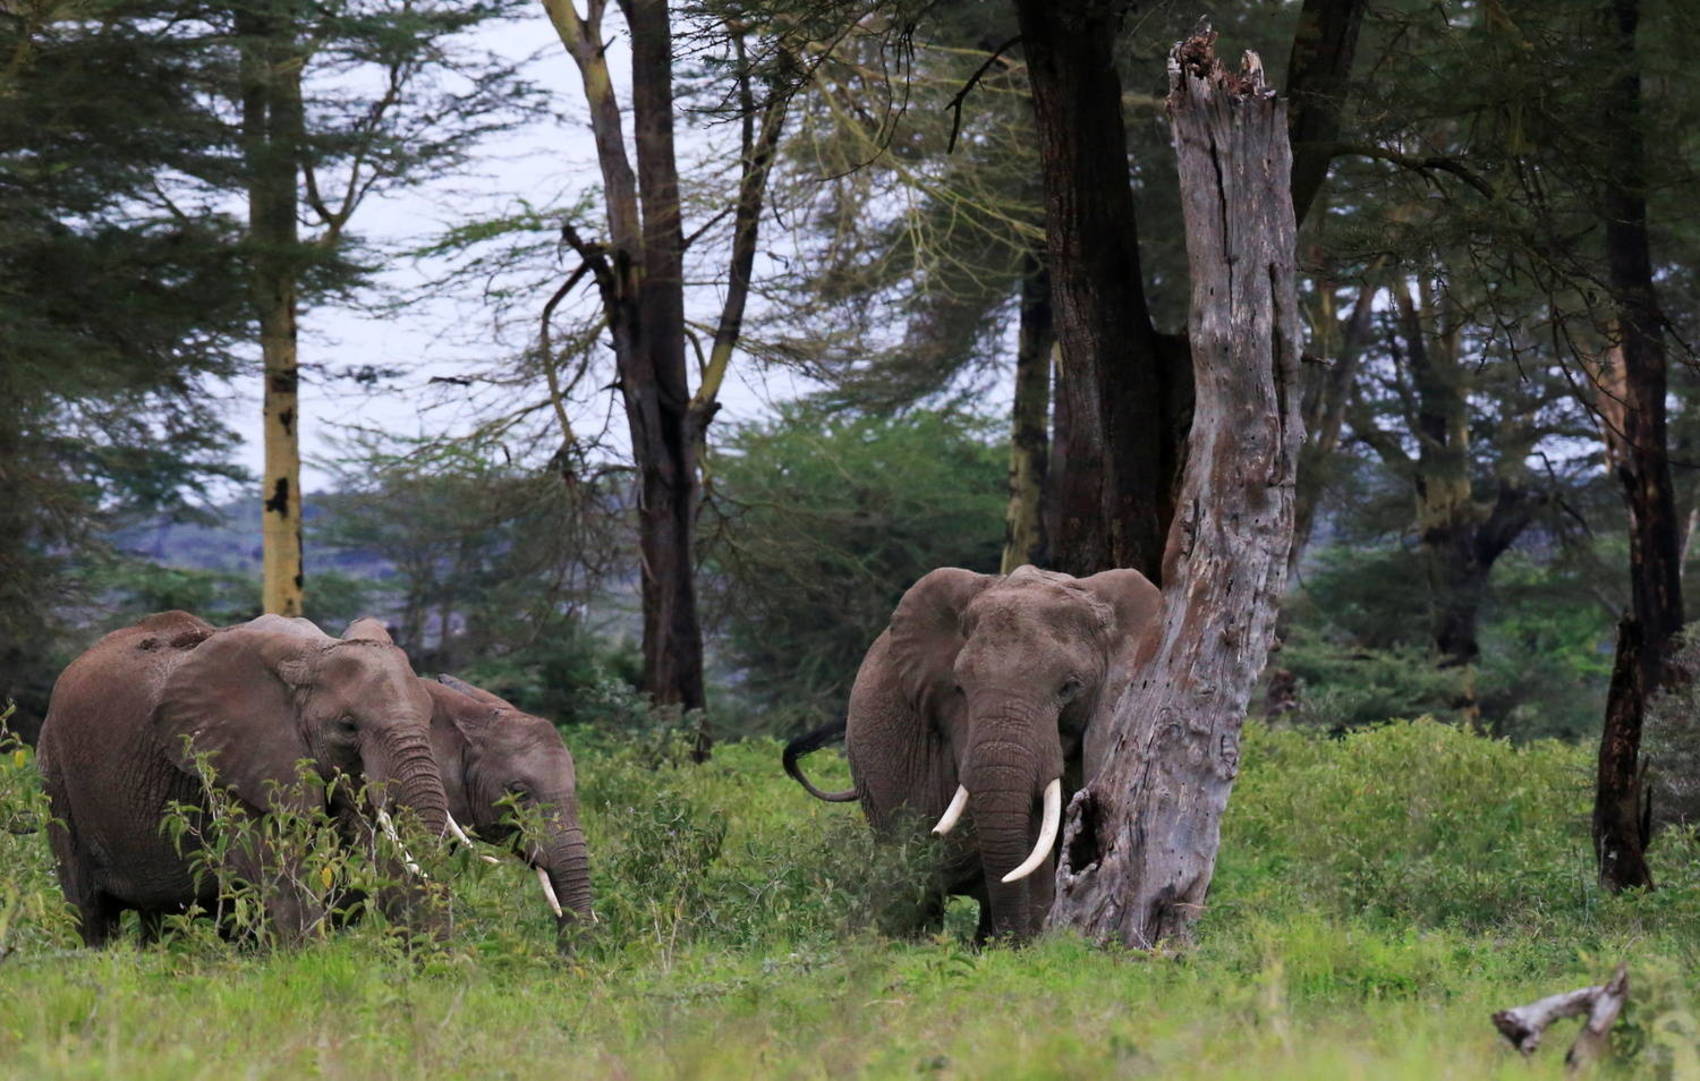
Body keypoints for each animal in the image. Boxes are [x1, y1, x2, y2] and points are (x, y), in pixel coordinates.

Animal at [37, 611, 456, 945]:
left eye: (429, 719)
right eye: (348, 726)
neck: (312, 652)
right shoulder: (232, 762)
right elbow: (276, 869)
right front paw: (307, 965)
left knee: (158, 916)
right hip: (57, 777)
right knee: (90, 911)